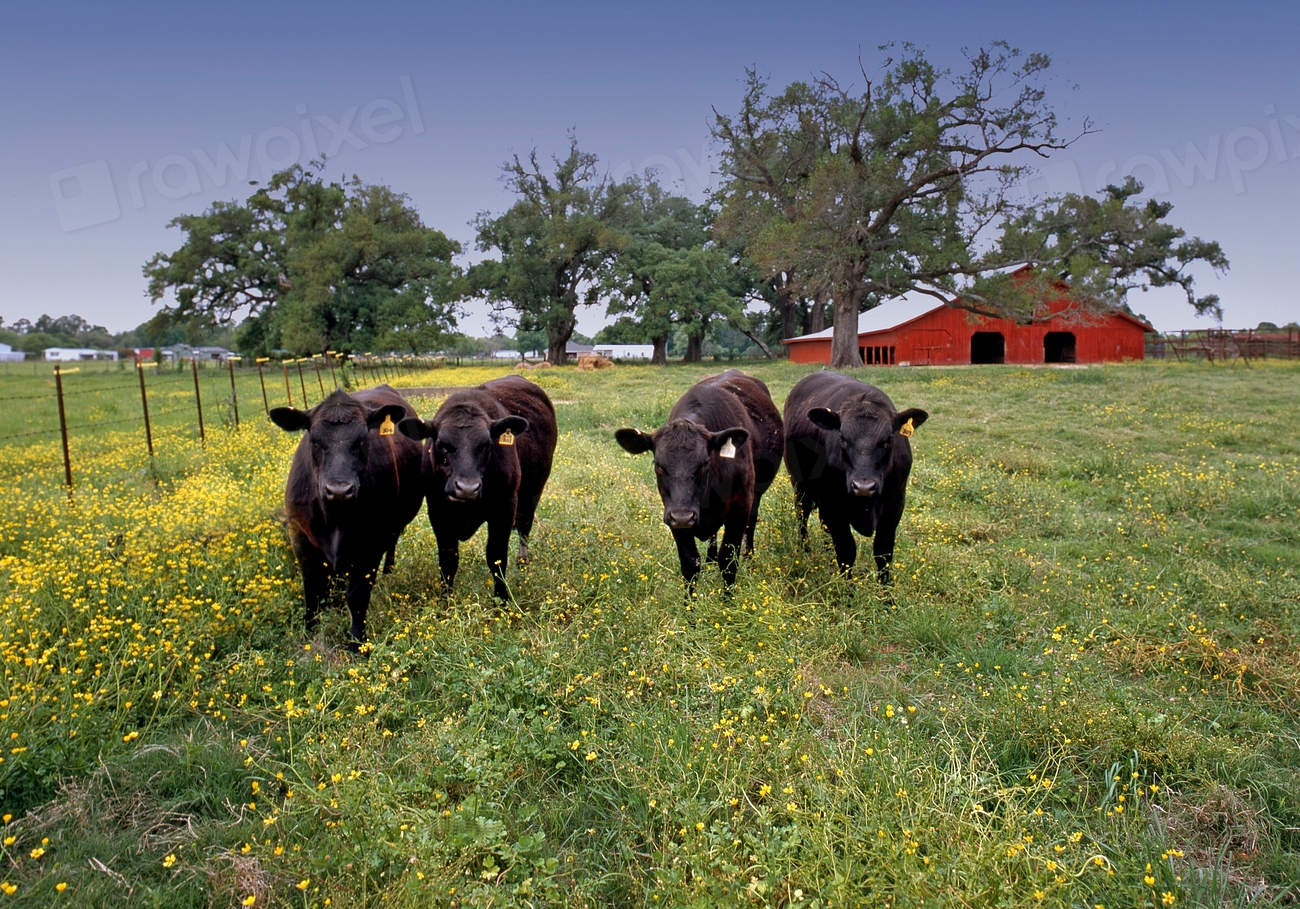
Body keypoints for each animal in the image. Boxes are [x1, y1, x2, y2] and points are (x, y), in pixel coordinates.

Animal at [270, 384, 425, 650]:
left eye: (362, 440)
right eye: (315, 441)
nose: (340, 490)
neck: (336, 521)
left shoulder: (373, 541)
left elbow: (357, 594)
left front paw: (356, 642)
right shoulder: (299, 535)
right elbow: (312, 590)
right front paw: (310, 629)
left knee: (392, 544)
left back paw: (388, 572)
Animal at [397, 376, 557, 600]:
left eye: (486, 444)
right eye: (442, 445)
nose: (467, 488)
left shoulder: (505, 508)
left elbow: (496, 557)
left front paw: (502, 599)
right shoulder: (438, 510)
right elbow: (448, 560)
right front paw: (446, 601)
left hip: (532, 491)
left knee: (525, 526)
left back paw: (522, 561)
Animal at [615, 369, 784, 591]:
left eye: (704, 463)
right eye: (658, 465)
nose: (683, 516)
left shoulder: (740, 508)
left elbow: (728, 562)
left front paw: (728, 599)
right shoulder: (673, 515)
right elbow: (690, 564)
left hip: (756, 495)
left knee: (751, 526)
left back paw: (750, 559)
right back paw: (710, 558)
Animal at [783, 370, 928, 583]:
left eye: (888, 439)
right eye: (842, 438)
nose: (863, 487)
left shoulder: (895, 503)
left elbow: (883, 552)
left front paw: (886, 591)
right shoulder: (832, 504)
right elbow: (846, 551)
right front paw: (848, 590)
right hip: (800, 485)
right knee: (802, 516)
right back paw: (805, 552)